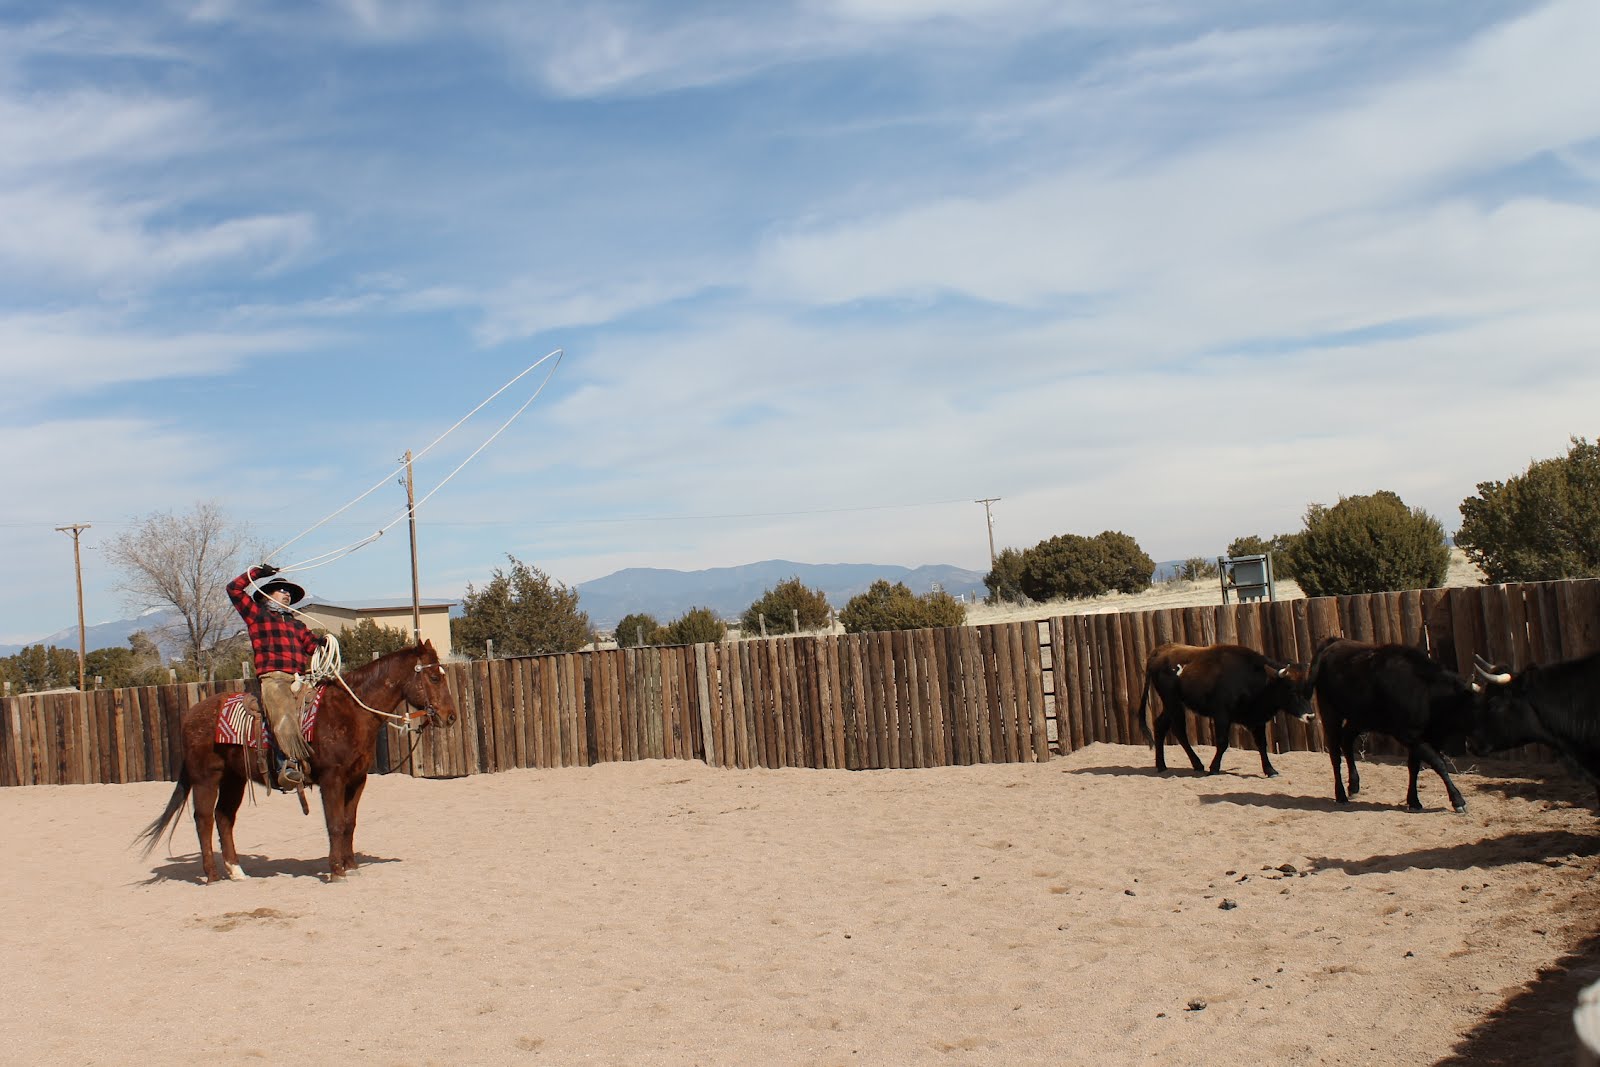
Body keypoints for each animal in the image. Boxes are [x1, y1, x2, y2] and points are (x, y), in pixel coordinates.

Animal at [136, 639, 458, 883]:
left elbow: (350, 822)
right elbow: (334, 823)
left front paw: (351, 865)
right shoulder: (332, 779)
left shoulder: (357, 779)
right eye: (434, 677)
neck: (349, 711)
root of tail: (191, 715)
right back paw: (212, 875)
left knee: (224, 817)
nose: (450, 716)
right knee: (203, 819)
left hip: (233, 779)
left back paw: (237, 871)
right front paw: (336, 870)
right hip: (206, 778)